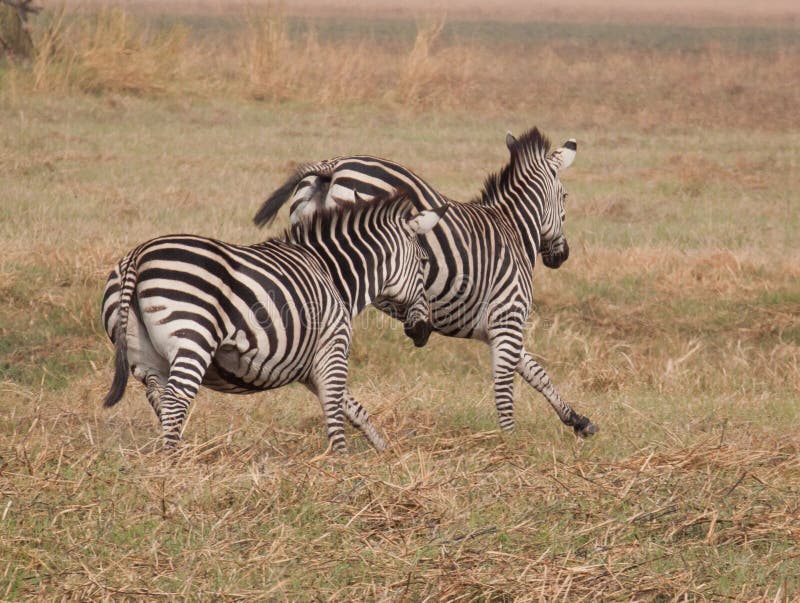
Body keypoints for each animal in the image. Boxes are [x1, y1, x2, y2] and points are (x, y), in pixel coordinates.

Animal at [101, 192, 447, 452]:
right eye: (424, 263)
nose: (423, 332)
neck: (333, 274)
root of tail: (138, 254)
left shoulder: (309, 367)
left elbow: (354, 409)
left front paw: (383, 452)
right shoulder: (333, 346)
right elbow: (335, 412)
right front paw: (341, 463)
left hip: (144, 356)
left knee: (159, 399)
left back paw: (176, 453)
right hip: (193, 338)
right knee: (175, 399)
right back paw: (175, 464)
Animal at [253, 127, 598, 437]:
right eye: (565, 196)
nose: (562, 255)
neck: (513, 227)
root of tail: (331, 166)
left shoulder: (490, 327)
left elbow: (535, 372)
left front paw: (578, 420)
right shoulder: (508, 315)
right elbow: (507, 384)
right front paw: (509, 441)